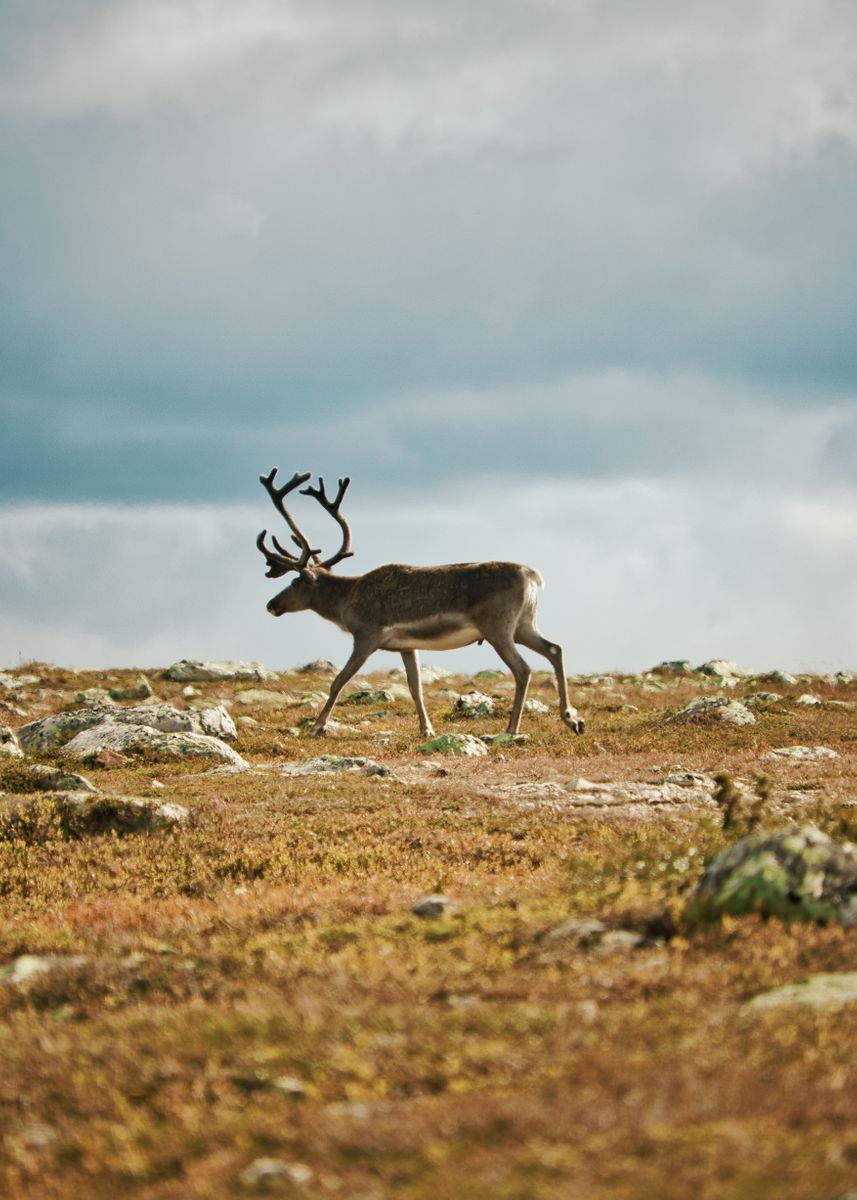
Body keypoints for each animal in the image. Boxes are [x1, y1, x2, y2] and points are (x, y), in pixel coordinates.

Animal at [257, 468, 585, 739]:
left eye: (295, 582)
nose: (271, 604)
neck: (346, 600)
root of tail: (532, 576)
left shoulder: (366, 636)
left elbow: (338, 681)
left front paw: (316, 727)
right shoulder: (406, 646)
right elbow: (416, 687)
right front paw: (427, 729)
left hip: (498, 627)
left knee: (523, 668)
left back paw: (512, 728)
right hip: (524, 624)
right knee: (555, 649)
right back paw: (573, 719)